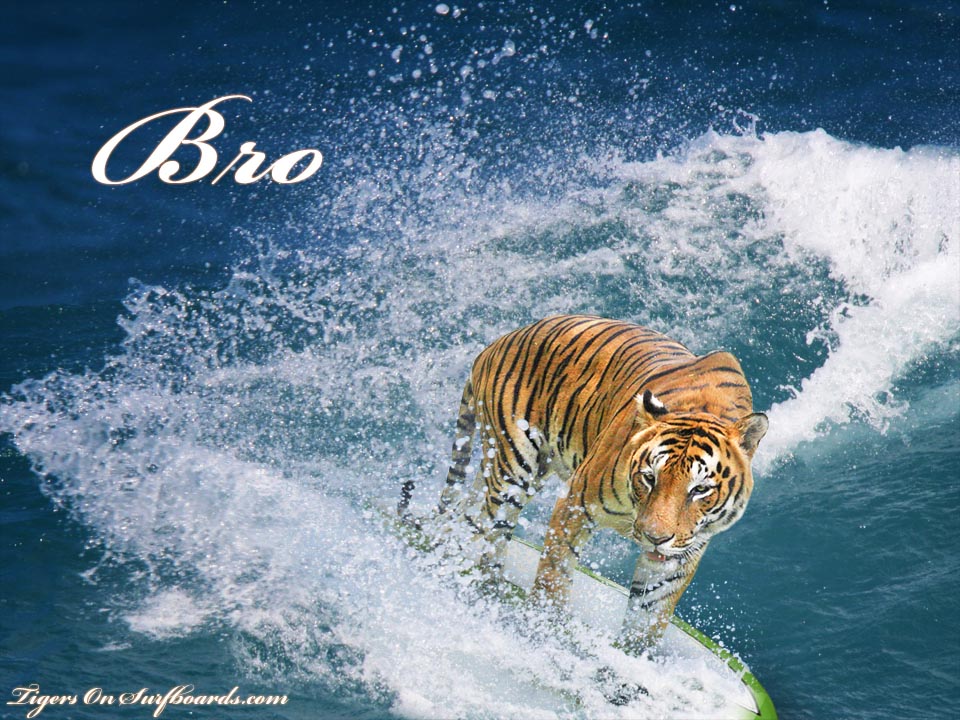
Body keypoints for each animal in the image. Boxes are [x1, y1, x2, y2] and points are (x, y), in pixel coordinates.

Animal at [400, 314, 768, 650]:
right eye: (649, 478)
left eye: (699, 490)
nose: (653, 537)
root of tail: (494, 344)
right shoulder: (575, 505)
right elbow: (555, 575)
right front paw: (545, 632)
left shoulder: (682, 553)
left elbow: (649, 616)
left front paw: (628, 668)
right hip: (513, 470)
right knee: (490, 532)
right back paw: (481, 585)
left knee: (467, 516)